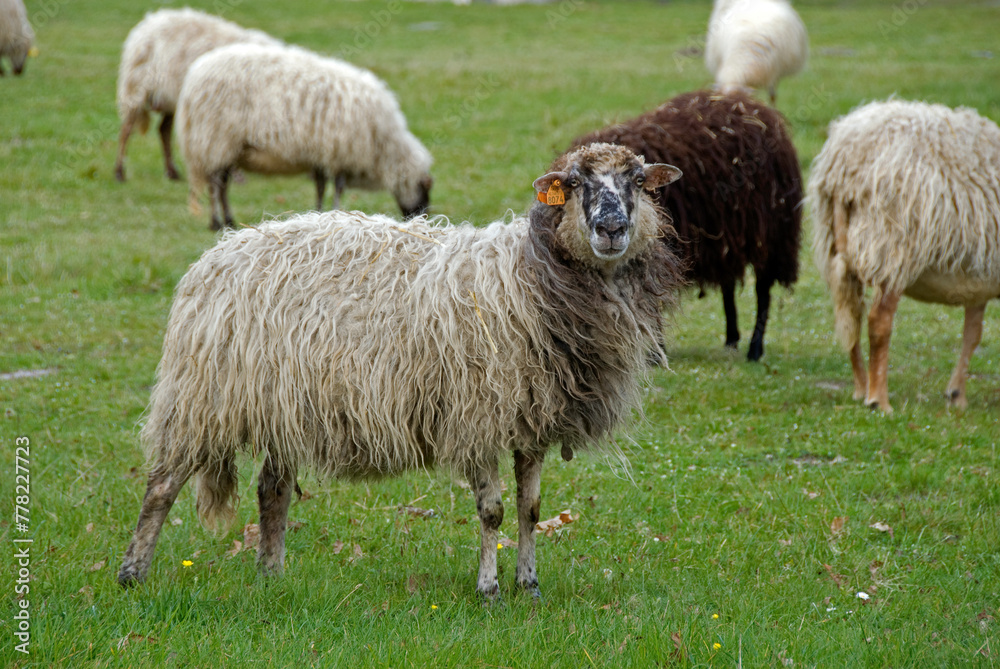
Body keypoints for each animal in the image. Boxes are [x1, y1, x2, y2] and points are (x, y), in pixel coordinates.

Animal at [114, 8, 281, 182]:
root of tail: (151, 19)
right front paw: (237, 175)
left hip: (169, 97)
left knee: (163, 129)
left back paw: (172, 172)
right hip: (135, 88)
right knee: (126, 130)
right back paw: (119, 172)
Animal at [117, 143, 683, 599]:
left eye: (637, 181)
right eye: (575, 184)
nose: (611, 229)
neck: (529, 279)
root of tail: (215, 256)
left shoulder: (532, 418)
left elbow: (532, 510)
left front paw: (530, 585)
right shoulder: (476, 414)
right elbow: (493, 511)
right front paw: (489, 589)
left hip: (282, 402)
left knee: (272, 491)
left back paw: (270, 577)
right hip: (201, 398)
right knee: (162, 486)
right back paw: (132, 575)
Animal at [177, 43, 433, 230]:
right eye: (424, 192)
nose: (419, 219)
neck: (385, 146)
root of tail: (193, 75)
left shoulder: (323, 154)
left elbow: (320, 186)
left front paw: (318, 213)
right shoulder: (341, 153)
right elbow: (338, 188)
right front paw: (335, 211)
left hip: (227, 146)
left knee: (222, 185)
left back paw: (229, 220)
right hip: (215, 139)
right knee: (215, 184)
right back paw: (216, 222)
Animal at [568, 90, 803, 361]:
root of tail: (752, 106)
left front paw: (656, 353)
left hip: (769, 233)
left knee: (762, 290)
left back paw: (755, 349)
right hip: (726, 235)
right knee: (729, 285)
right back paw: (731, 340)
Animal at [810, 99, 1000, 412]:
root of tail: (847, 159)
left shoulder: (979, 275)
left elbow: (972, 333)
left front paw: (957, 394)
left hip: (838, 242)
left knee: (850, 317)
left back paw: (861, 388)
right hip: (893, 246)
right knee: (878, 320)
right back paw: (879, 400)